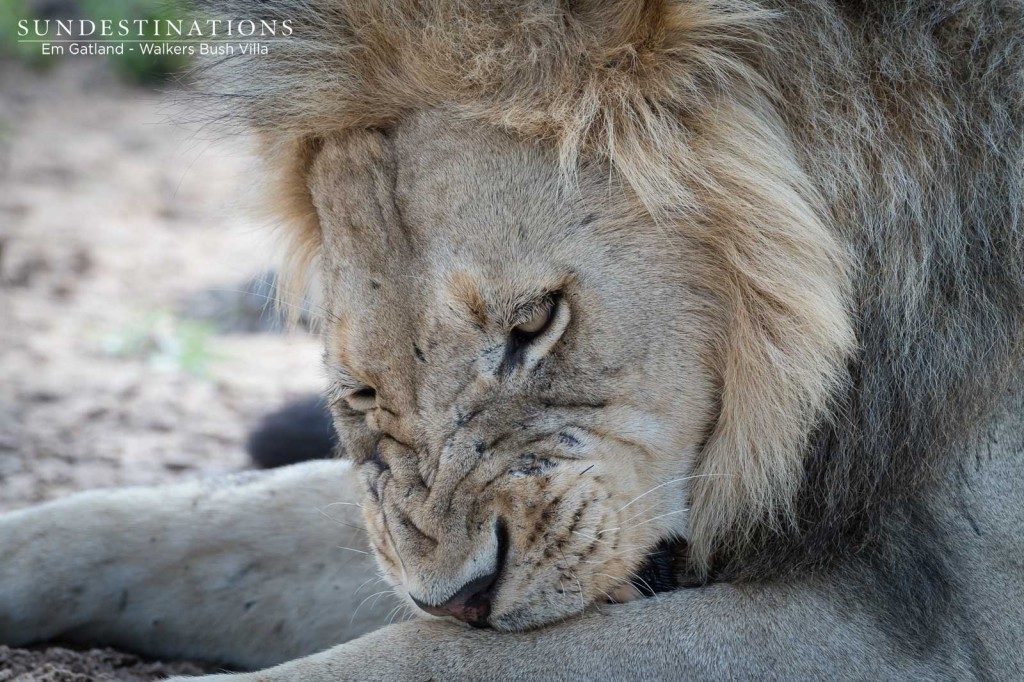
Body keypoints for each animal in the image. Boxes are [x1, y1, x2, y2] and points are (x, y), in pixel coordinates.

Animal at [3, 0, 1024, 679]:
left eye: (534, 323)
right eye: (361, 393)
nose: (457, 599)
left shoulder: (925, 621)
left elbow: (415, 660)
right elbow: (204, 520)